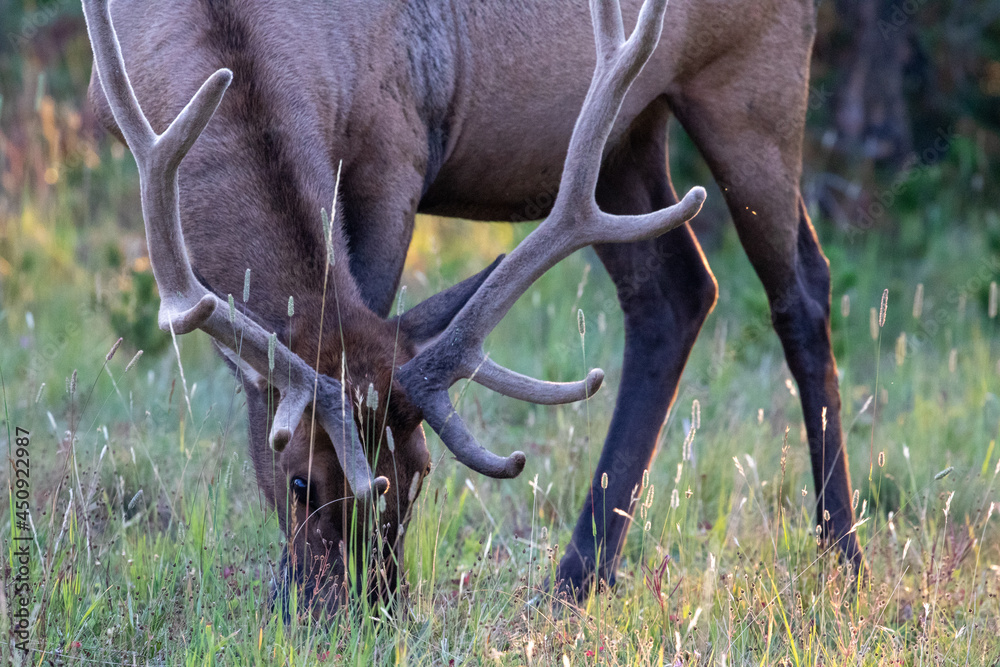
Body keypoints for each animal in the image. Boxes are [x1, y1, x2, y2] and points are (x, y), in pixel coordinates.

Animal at [81, 0, 864, 612]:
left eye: (419, 470)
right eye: (299, 480)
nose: (368, 609)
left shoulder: (393, 146)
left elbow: (364, 307)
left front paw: (279, 595)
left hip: (753, 80)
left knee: (802, 287)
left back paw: (842, 557)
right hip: (623, 135)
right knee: (676, 292)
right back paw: (578, 576)